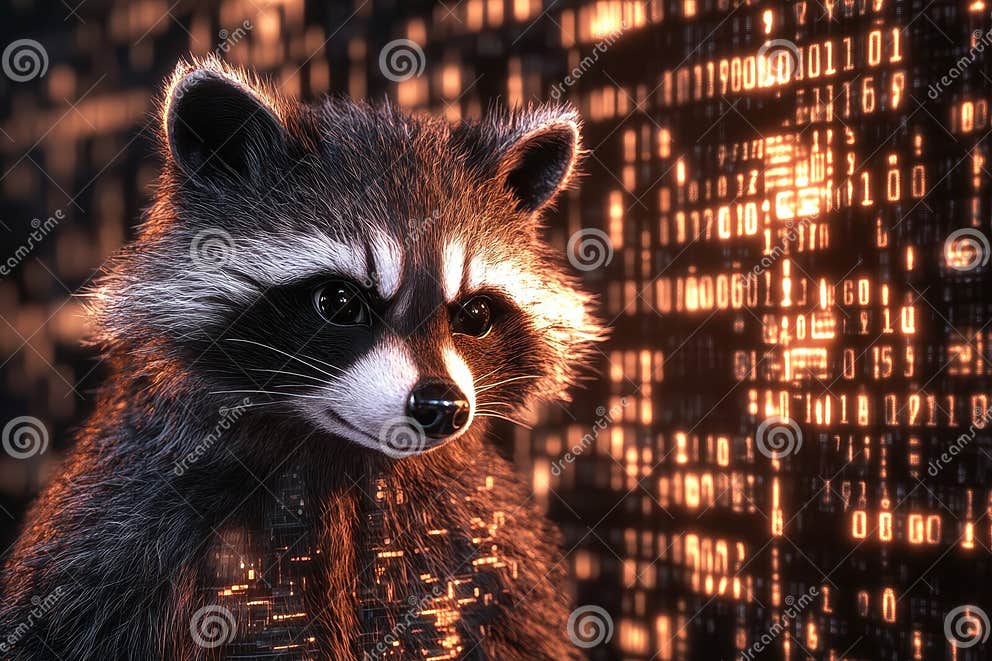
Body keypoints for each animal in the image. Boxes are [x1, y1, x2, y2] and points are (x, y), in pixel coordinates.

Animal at [0, 57, 604, 660]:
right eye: (339, 303)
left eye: (474, 315)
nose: (442, 406)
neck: (336, 457)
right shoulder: (123, 522)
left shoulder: (484, 541)